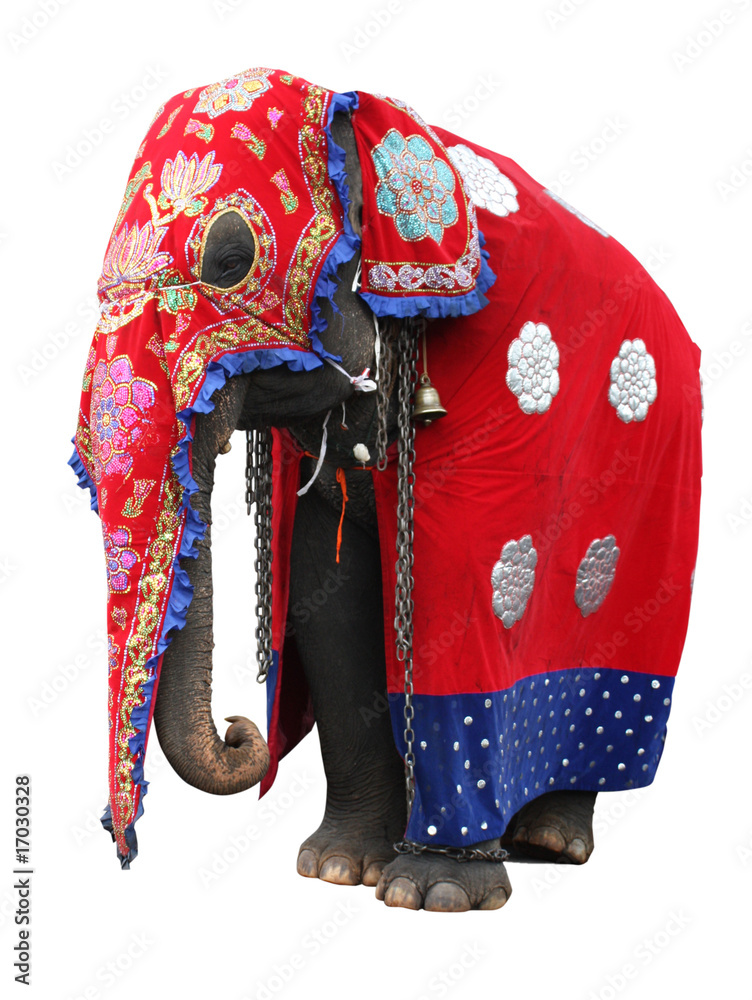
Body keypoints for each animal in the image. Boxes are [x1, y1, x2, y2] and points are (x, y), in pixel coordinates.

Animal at [70, 67, 702, 911]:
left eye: (231, 259)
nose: (241, 728)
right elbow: (327, 596)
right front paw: (337, 869)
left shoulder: (493, 408)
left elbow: (461, 592)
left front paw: (432, 893)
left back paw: (547, 842)